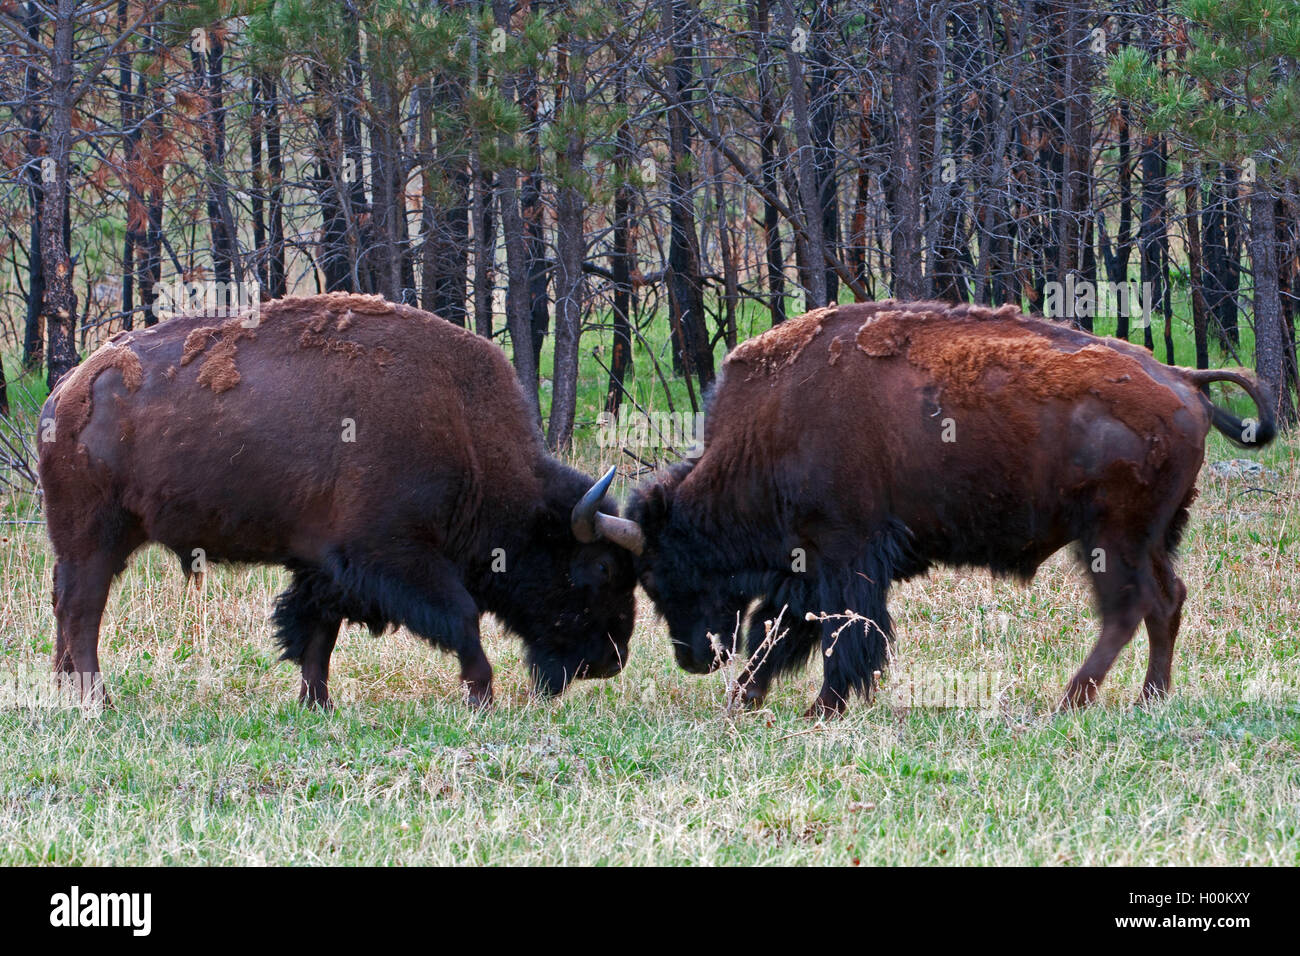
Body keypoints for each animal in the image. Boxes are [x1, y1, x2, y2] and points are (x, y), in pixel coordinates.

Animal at [38, 293, 636, 707]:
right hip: (94, 537)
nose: (611, 659)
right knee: (82, 609)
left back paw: (71, 692)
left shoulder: (325, 566)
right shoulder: (393, 555)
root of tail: (66, 390)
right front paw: (482, 697)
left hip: (98, 541)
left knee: (68, 606)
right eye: (601, 568)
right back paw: (97, 700)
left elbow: (315, 632)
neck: (464, 428)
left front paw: (317, 703)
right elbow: (461, 617)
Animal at [572, 300, 1276, 717]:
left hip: (1110, 538)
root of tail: (1184, 382)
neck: (773, 426)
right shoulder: (806, 565)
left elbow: (842, 630)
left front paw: (824, 706)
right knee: (1167, 600)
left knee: (1130, 608)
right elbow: (785, 630)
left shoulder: (843, 554)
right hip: (1151, 537)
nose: (696, 657)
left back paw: (1071, 700)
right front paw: (747, 698)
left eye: (661, 574)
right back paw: (1150, 699)